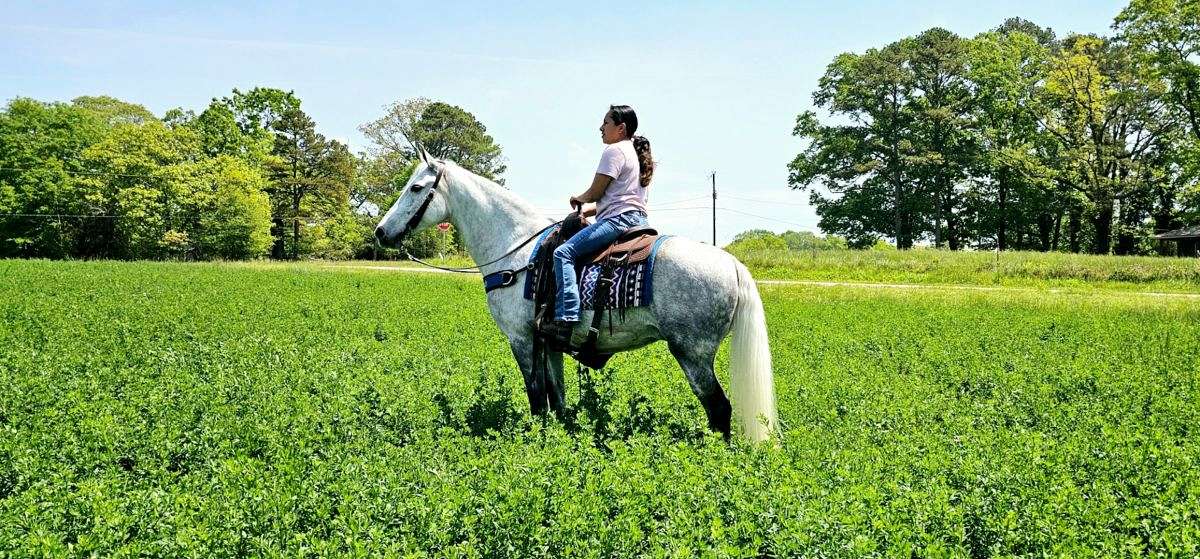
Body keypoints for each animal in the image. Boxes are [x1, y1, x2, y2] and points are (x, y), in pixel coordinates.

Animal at [374, 152, 777, 442]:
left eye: (415, 188)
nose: (380, 232)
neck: (517, 252)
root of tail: (733, 265)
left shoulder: (522, 338)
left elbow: (537, 397)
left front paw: (537, 440)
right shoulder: (548, 341)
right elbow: (558, 397)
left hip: (692, 353)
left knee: (719, 409)